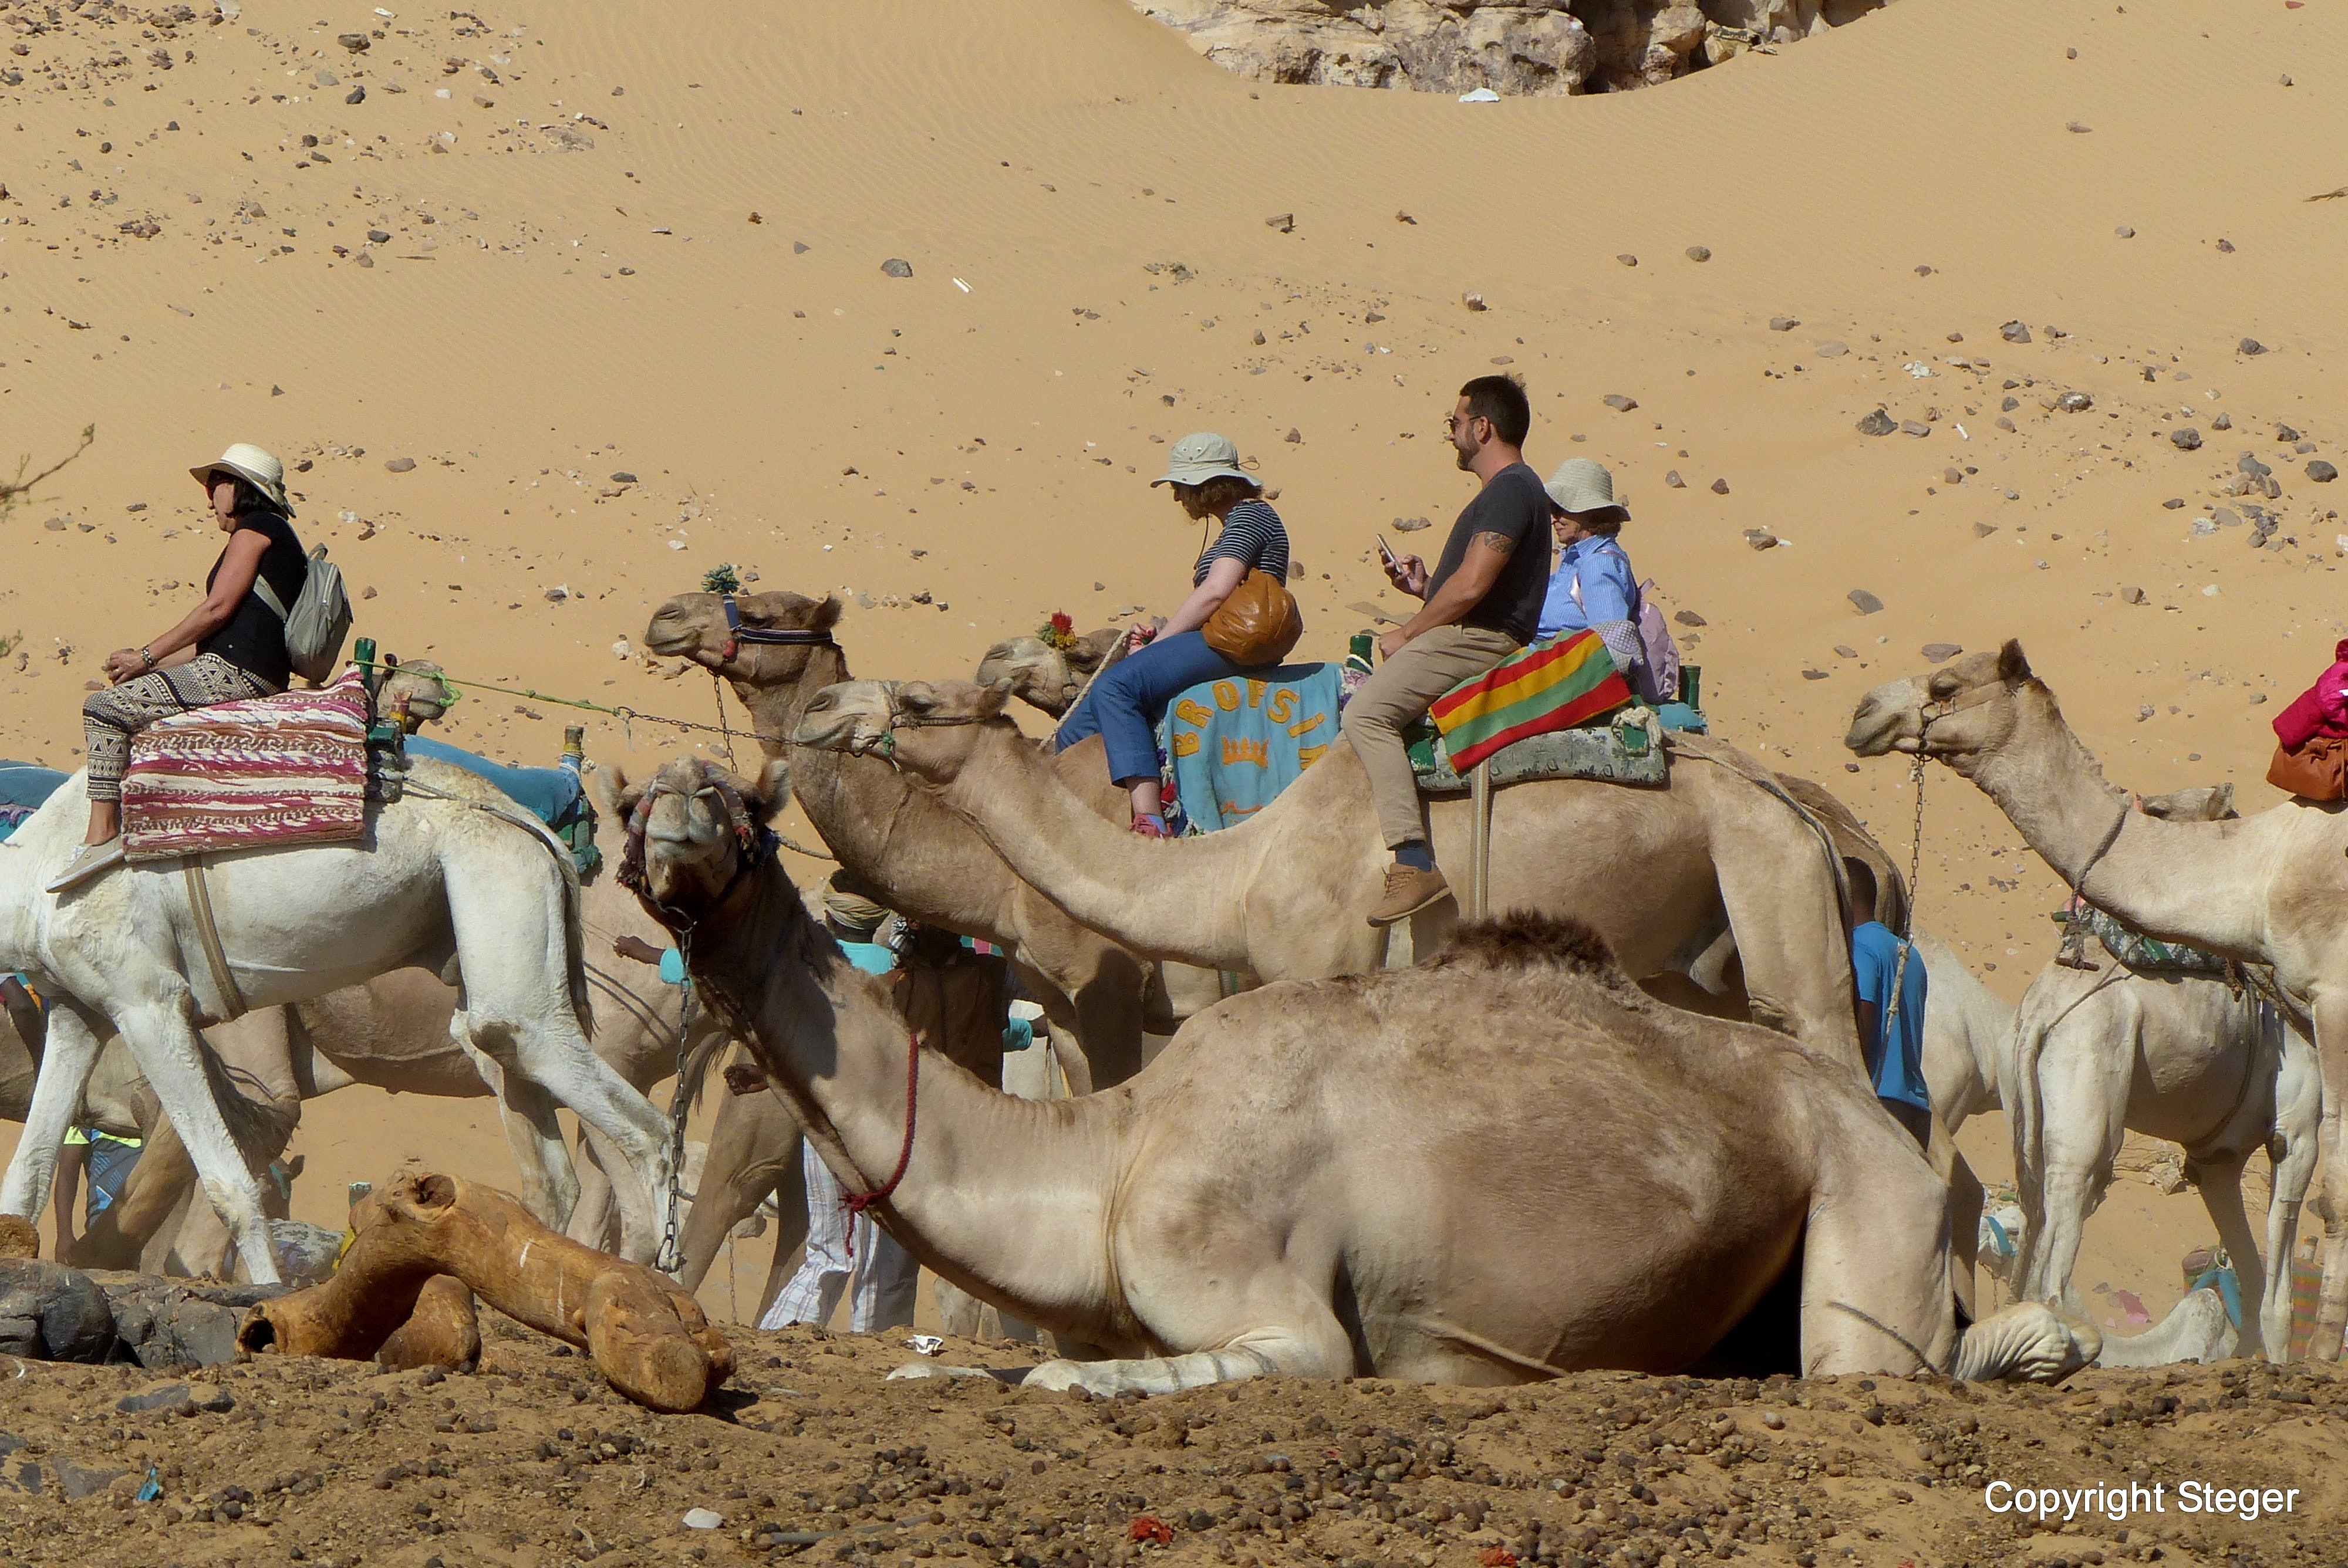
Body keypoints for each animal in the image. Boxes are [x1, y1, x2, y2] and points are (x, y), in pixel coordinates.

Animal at [0, 756, 675, 1281]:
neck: (37, 875)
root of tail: (541, 834)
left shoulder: (148, 1000)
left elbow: (230, 1183)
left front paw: (268, 1300)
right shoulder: (79, 1010)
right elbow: (27, 1171)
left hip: (502, 887)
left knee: (649, 1129)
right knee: (536, 1126)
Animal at [610, 752, 2118, 1390]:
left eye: (732, 806)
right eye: (638, 804)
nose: (674, 833)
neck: (1103, 1159)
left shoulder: (1272, 1305)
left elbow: (1091, 1379)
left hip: (1860, 1193)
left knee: (1877, 1355)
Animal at [792, 679, 1866, 1064]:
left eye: (918, 702)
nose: (819, 708)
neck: (1234, 871)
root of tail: (1804, 814)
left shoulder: (1314, 968)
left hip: (1771, 882)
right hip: (1693, 948)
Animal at [1847, 639, 2348, 1358]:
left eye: (1945, 684)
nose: (1863, 713)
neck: (2258, 876)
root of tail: (2033, 1015)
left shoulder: (2278, 1108)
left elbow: (2276, 1275)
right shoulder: (2257, 1135)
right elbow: (2269, 1280)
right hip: (2081, 1115)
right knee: (2054, 1253)